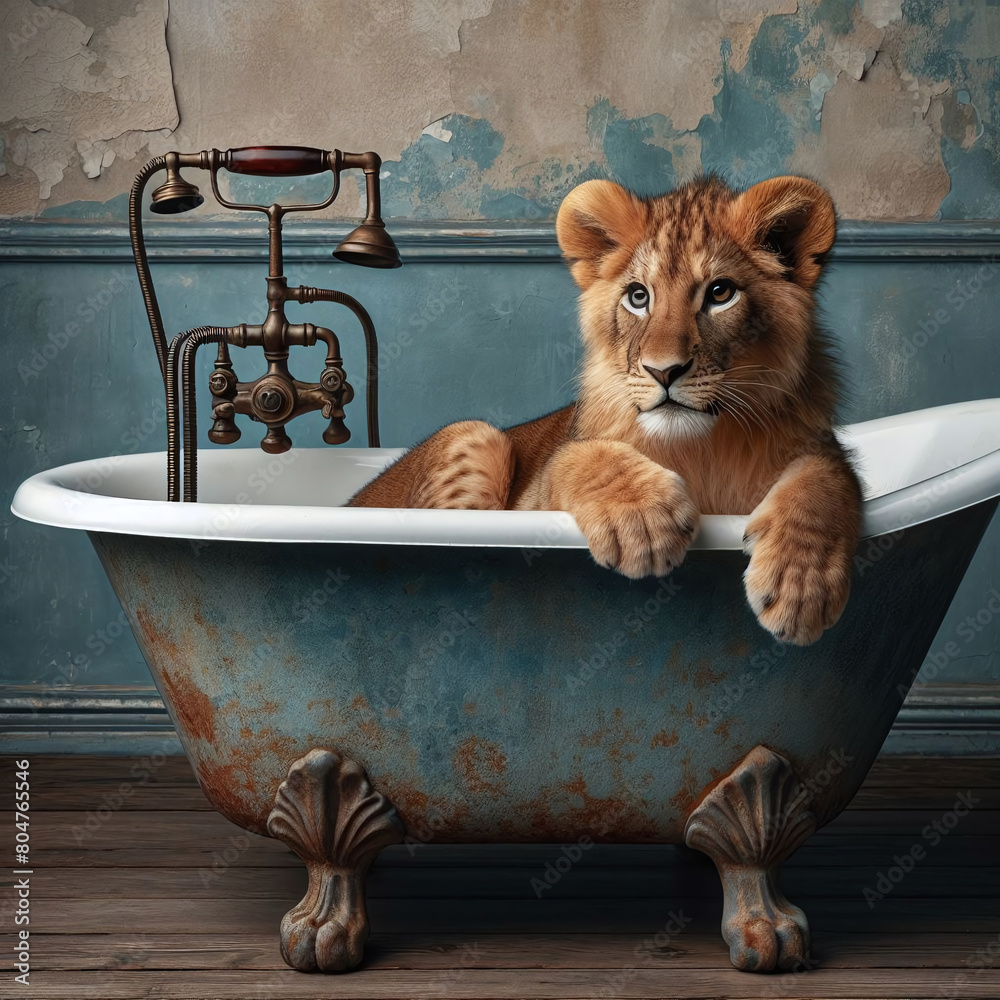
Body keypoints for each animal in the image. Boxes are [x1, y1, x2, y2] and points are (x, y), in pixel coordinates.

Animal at [350, 175, 862, 646]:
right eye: (638, 297)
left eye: (720, 293)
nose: (663, 371)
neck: (700, 447)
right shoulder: (537, 495)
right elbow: (578, 456)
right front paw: (643, 523)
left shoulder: (819, 444)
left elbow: (827, 479)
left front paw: (800, 585)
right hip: (475, 435)